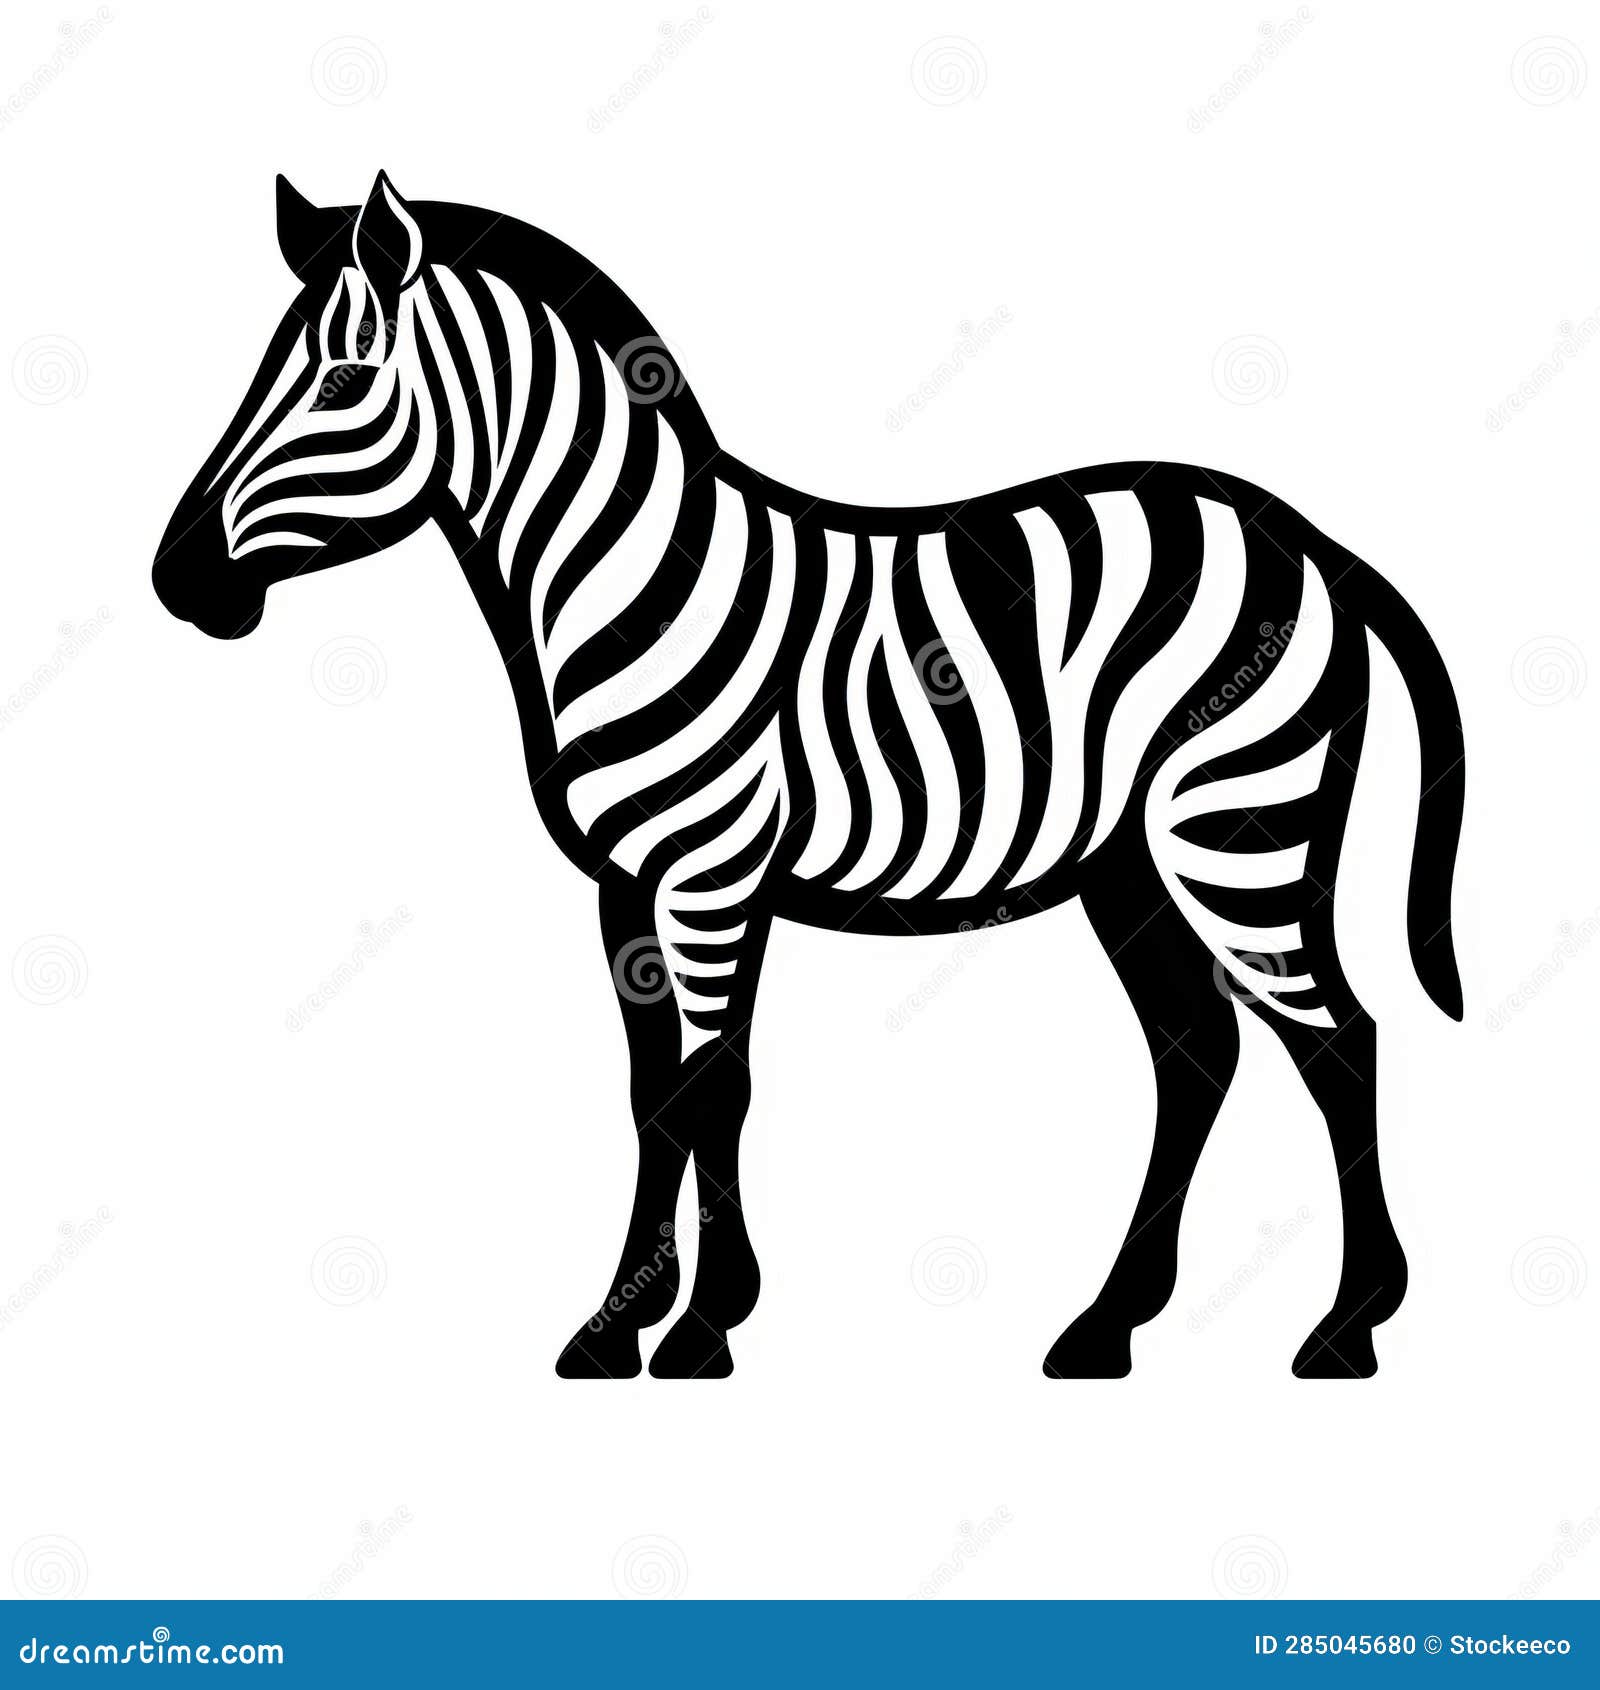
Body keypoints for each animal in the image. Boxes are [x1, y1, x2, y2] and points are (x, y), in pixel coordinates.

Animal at [153, 174, 1464, 1380]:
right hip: (1129, 862)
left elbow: (711, 1088)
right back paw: (1106, 1325)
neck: (638, 582)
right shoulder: (624, 887)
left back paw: (1346, 1328)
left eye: (337, 384)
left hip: (1239, 822)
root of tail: (1304, 535)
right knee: (1197, 1053)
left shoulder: (713, 876)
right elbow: (652, 1092)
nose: (178, 581)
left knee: (1339, 1040)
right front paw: (614, 1327)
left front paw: (702, 1329)